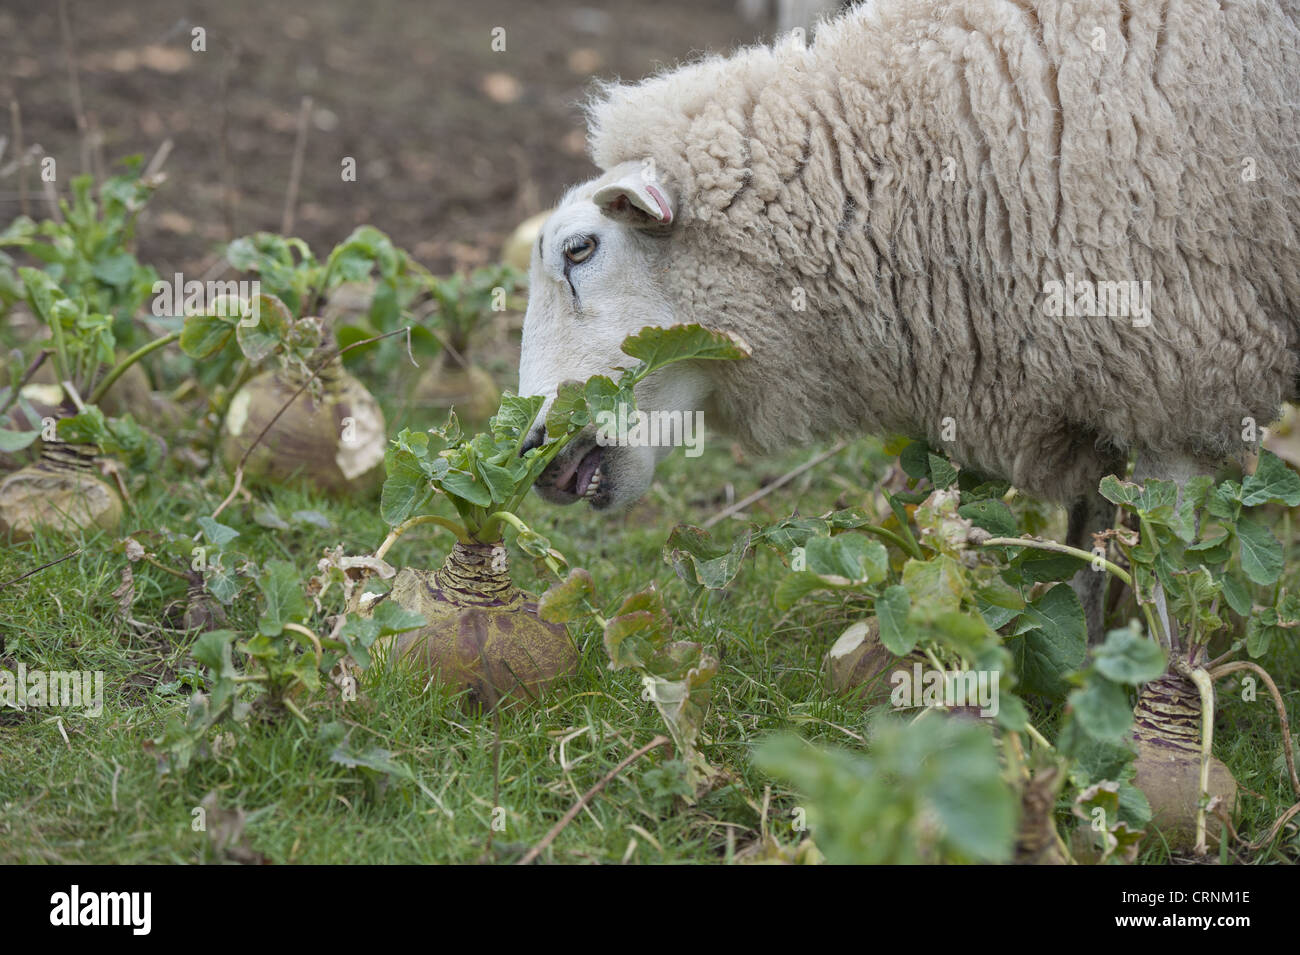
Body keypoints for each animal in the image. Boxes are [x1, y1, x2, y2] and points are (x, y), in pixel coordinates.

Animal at [518, 0, 1300, 640]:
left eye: (580, 249)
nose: (530, 450)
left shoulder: (1183, 379)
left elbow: (1173, 577)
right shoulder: (1096, 381)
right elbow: (1089, 550)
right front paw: (1083, 671)